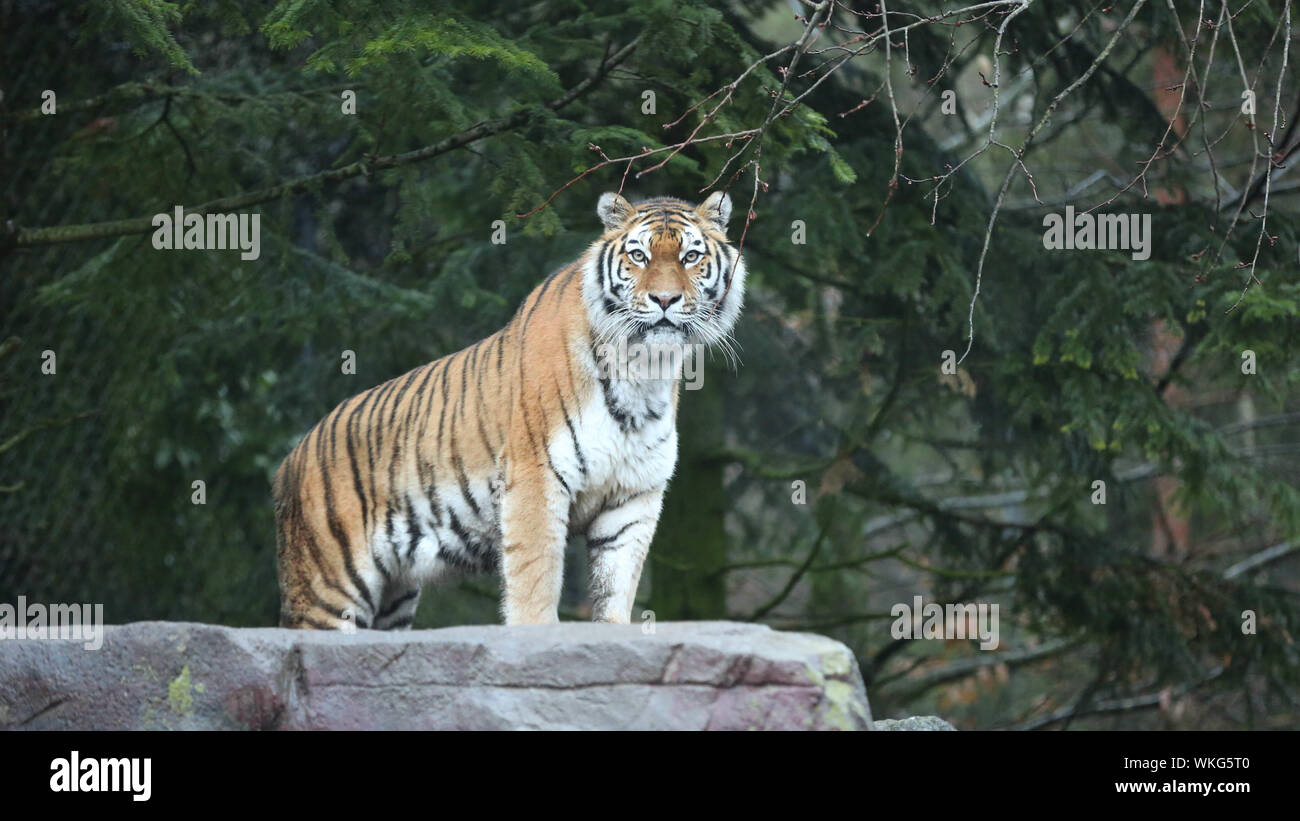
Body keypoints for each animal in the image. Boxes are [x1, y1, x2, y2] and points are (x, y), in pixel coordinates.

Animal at [273, 190, 746, 629]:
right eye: (638, 255)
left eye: (690, 257)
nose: (664, 300)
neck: (643, 371)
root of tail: (291, 457)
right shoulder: (536, 478)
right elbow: (536, 584)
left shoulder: (632, 499)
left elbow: (615, 593)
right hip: (329, 591)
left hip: (394, 597)